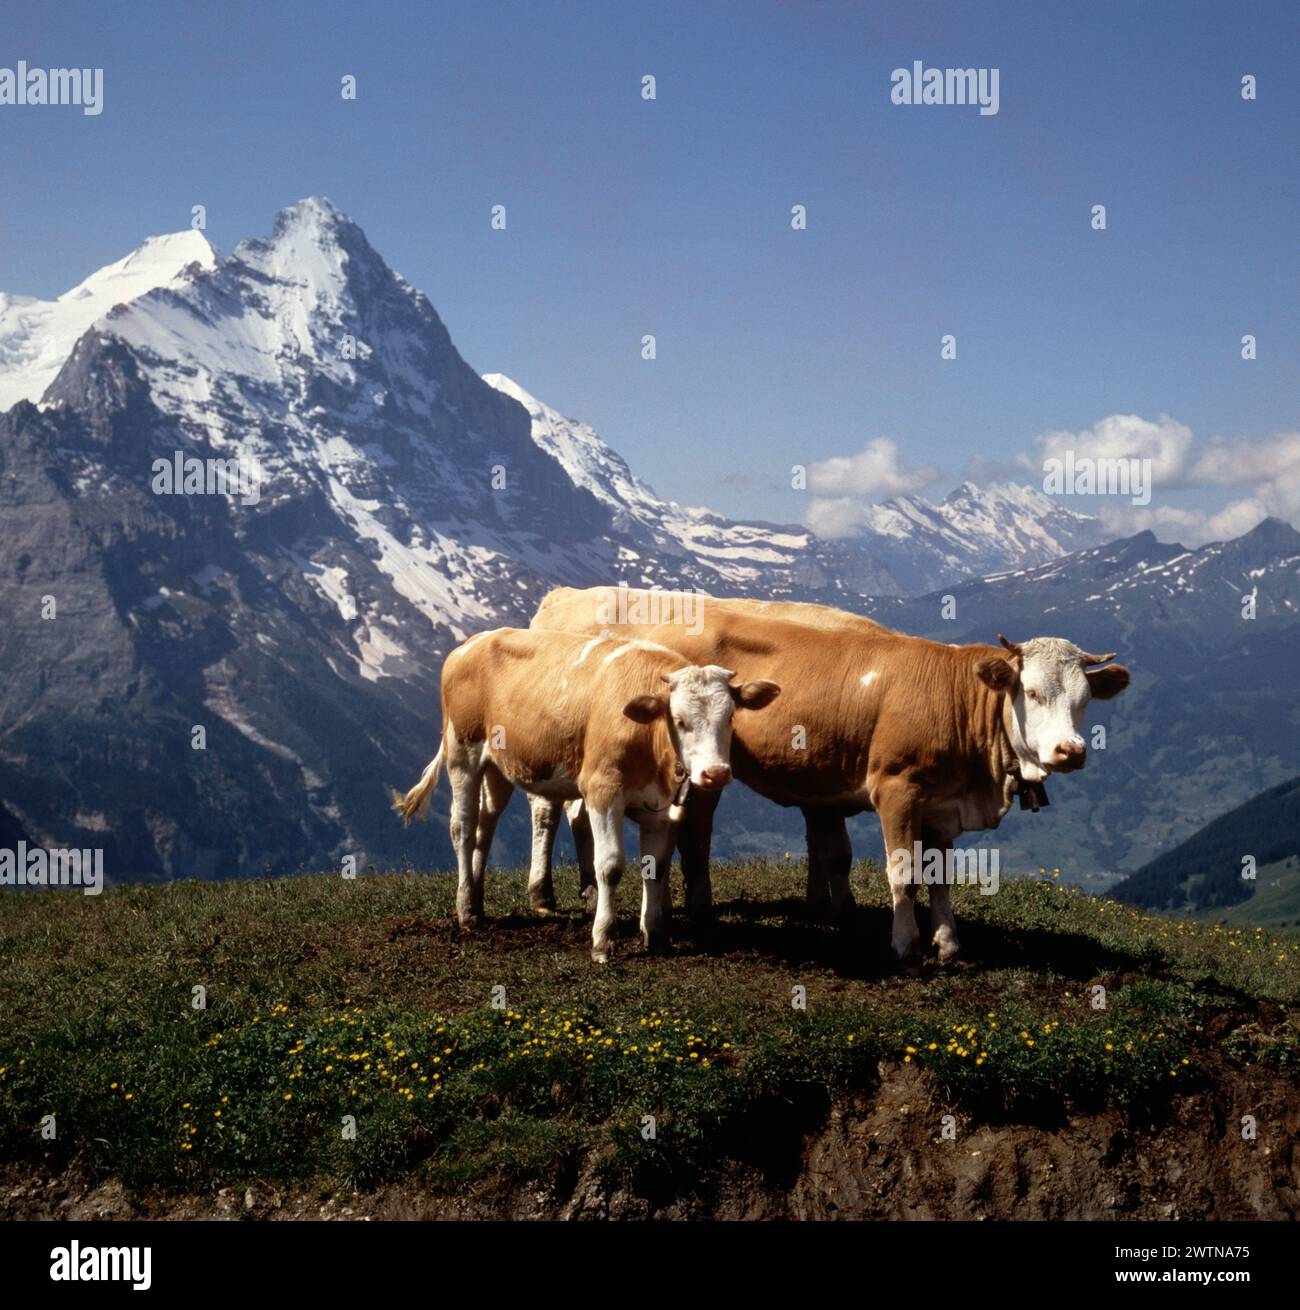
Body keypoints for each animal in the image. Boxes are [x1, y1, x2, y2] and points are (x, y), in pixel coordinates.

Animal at [392, 626, 780, 962]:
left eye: (730, 718)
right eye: (680, 720)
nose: (715, 773)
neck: (650, 742)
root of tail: (472, 643)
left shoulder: (661, 805)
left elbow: (656, 866)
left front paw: (655, 935)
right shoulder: (601, 791)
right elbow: (609, 865)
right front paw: (603, 940)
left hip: (498, 766)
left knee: (484, 827)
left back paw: (476, 899)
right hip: (463, 751)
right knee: (462, 828)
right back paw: (465, 910)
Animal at [528, 586, 1130, 966]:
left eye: (1084, 701)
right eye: (1030, 691)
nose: (1071, 750)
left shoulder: (942, 805)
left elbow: (936, 875)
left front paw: (948, 942)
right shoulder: (897, 789)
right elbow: (900, 873)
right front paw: (905, 944)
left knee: (676, 829)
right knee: (556, 811)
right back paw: (552, 893)